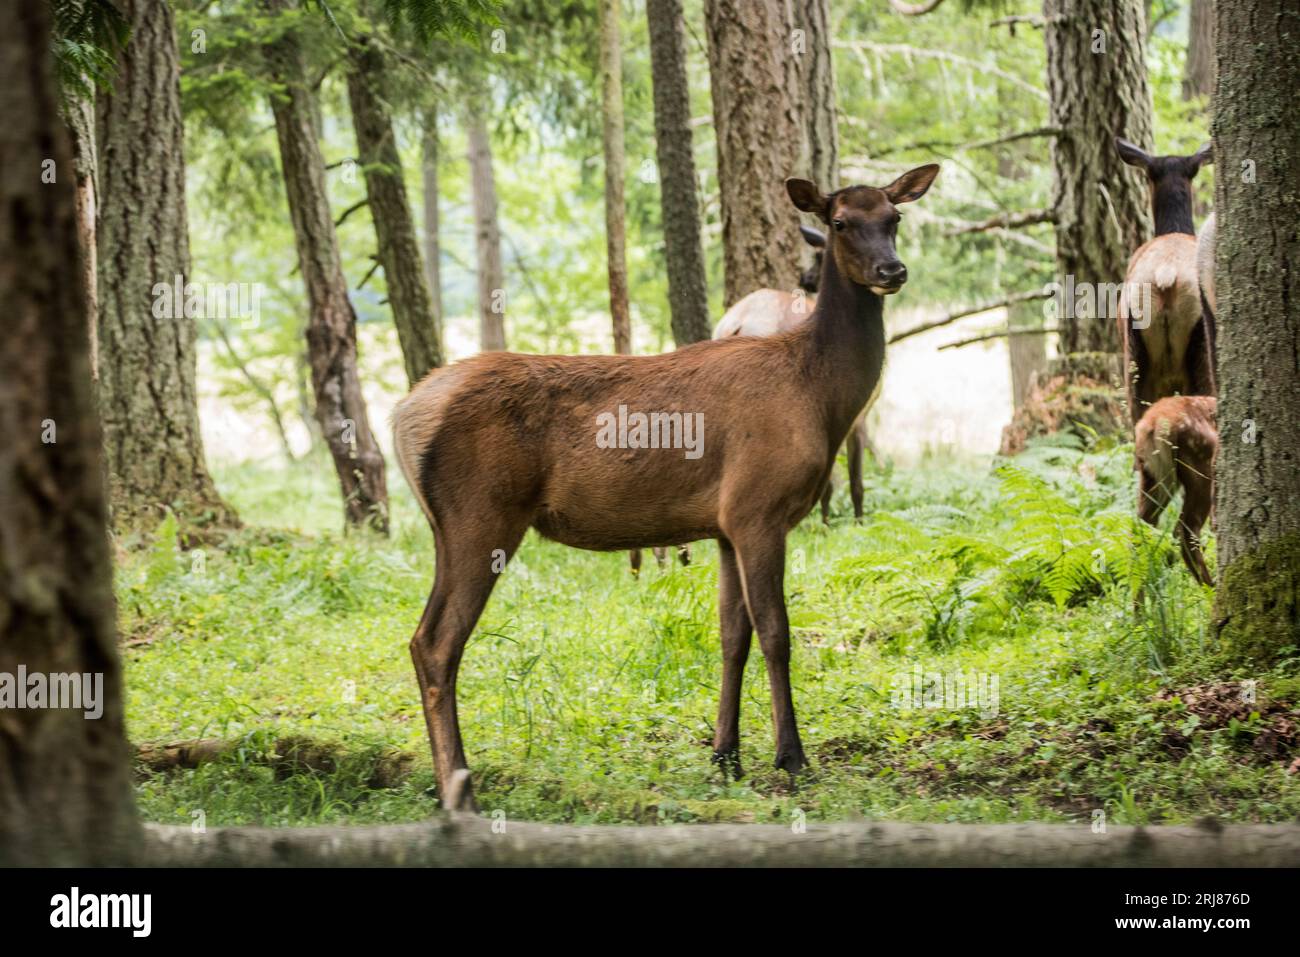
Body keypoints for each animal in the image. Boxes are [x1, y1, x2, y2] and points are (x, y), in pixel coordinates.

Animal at [713, 224, 878, 523]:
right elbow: (854, 481)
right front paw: (850, 524)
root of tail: (735, 323)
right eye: (818, 253)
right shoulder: (858, 416)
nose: (806, 279)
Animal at [1134, 395, 1217, 586]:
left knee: (1140, 529)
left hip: (1153, 476)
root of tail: (1154, 422)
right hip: (1201, 467)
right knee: (1185, 529)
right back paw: (1210, 589)